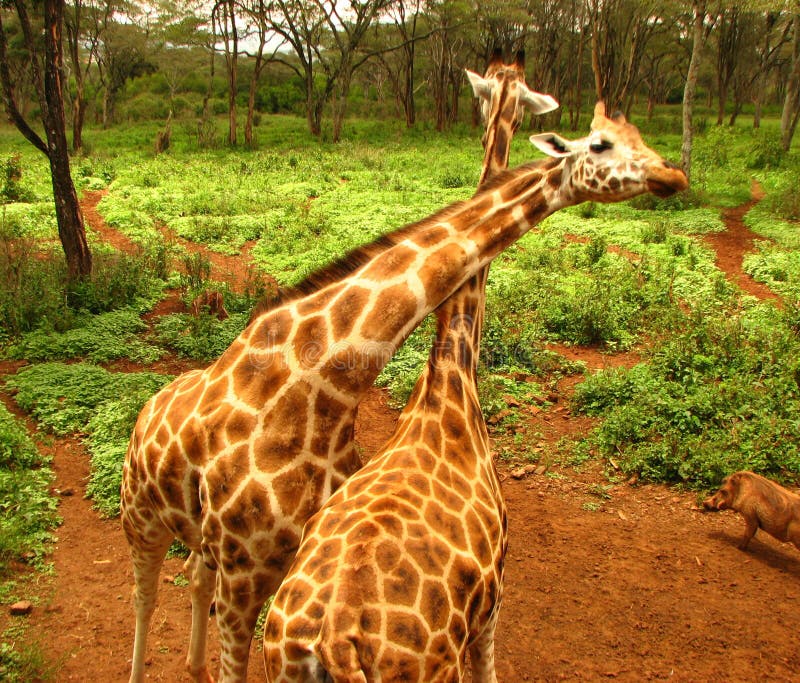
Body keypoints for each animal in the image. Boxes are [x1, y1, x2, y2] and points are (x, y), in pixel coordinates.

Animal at [120, 85, 561, 683]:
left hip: (205, 543)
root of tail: (143, 413)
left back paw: (193, 666)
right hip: (141, 519)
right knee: (143, 597)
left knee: (192, 578)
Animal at [260, 102, 688, 682]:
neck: (450, 378)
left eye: (640, 136)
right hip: (432, 667)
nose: (673, 175)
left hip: (277, 661)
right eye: (601, 143)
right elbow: (490, 666)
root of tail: (333, 645)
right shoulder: (495, 594)